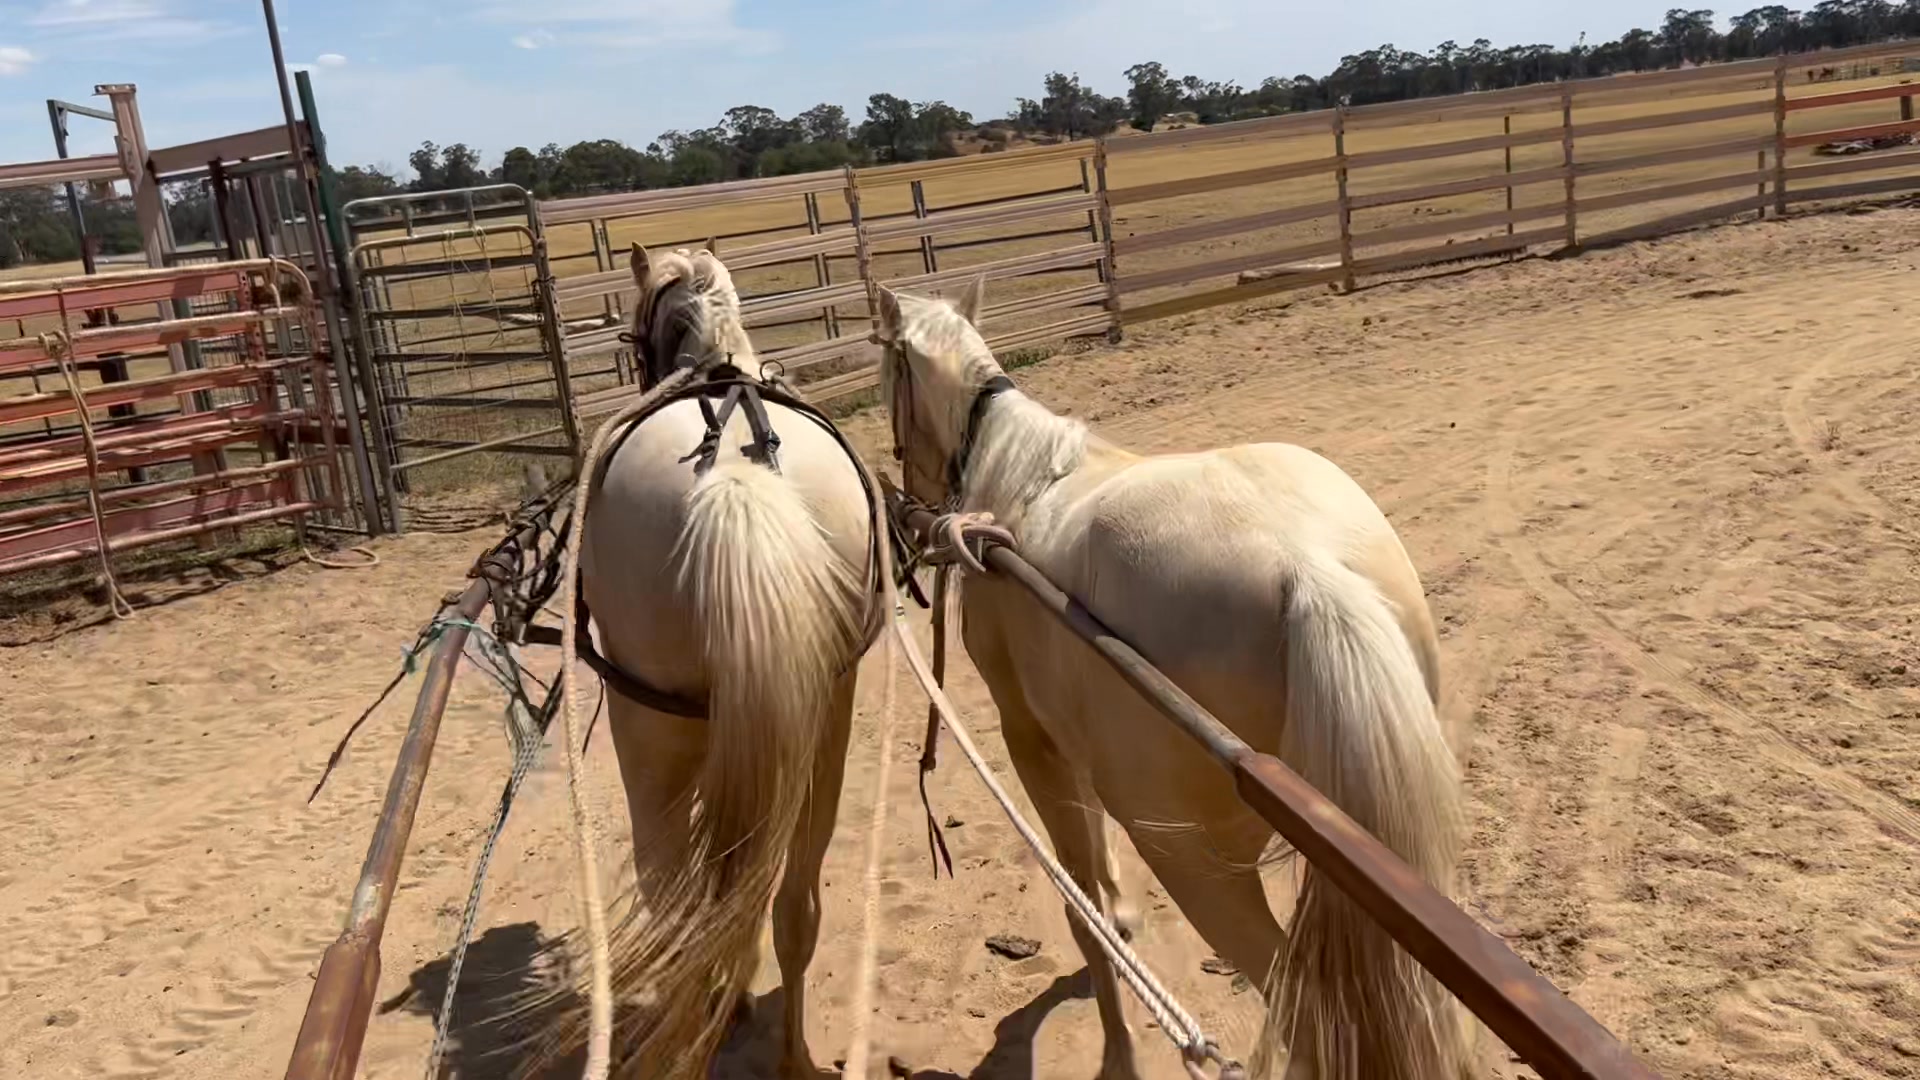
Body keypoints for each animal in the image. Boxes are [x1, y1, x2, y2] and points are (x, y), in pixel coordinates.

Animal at [532, 245, 883, 1079]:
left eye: (634, 339)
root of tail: (734, 480)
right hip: (824, 719)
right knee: (788, 901)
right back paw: (792, 1056)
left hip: (649, 730)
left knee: (670, 898)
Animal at [874, 279, 1471, 1080]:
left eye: (887, 372)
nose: (913, 503)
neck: (1017, 483)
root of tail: (1309, 569)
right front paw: (1124, 914)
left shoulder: (1029, 735)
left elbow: (1082, 905)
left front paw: (1118, 1049)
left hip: (1199, 867)